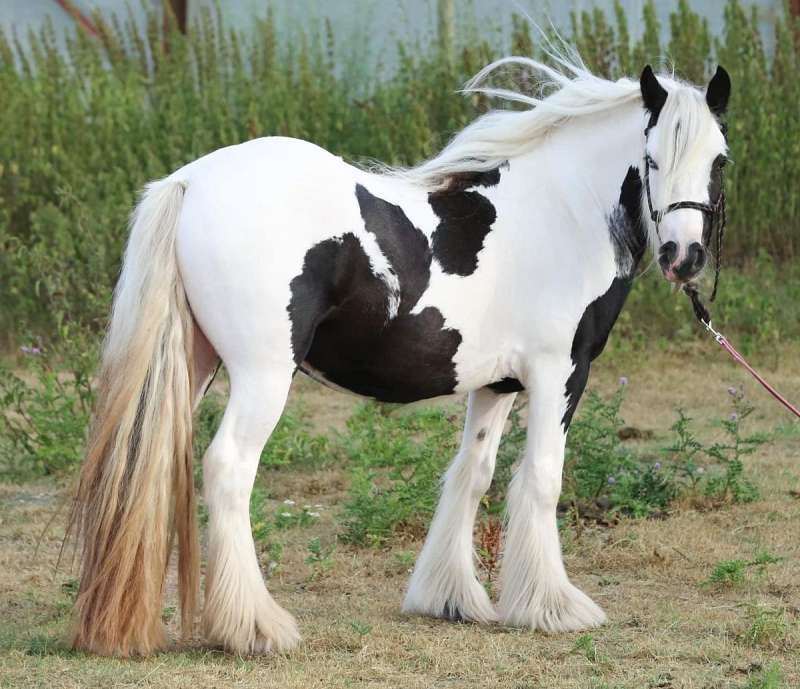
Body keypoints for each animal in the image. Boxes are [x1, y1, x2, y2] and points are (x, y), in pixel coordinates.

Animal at [69, 53, 730, 656]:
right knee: (228, 468)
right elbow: (542, 477)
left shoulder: (496, 385)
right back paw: (255, 627)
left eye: (719, 160)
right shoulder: (559, 373)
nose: (683, 256)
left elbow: (472, 473)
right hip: (263, 374)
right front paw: (554, 607)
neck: (561, 213)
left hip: (194, 365)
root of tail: (190, 182)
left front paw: (450, 598)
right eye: (652, 159)